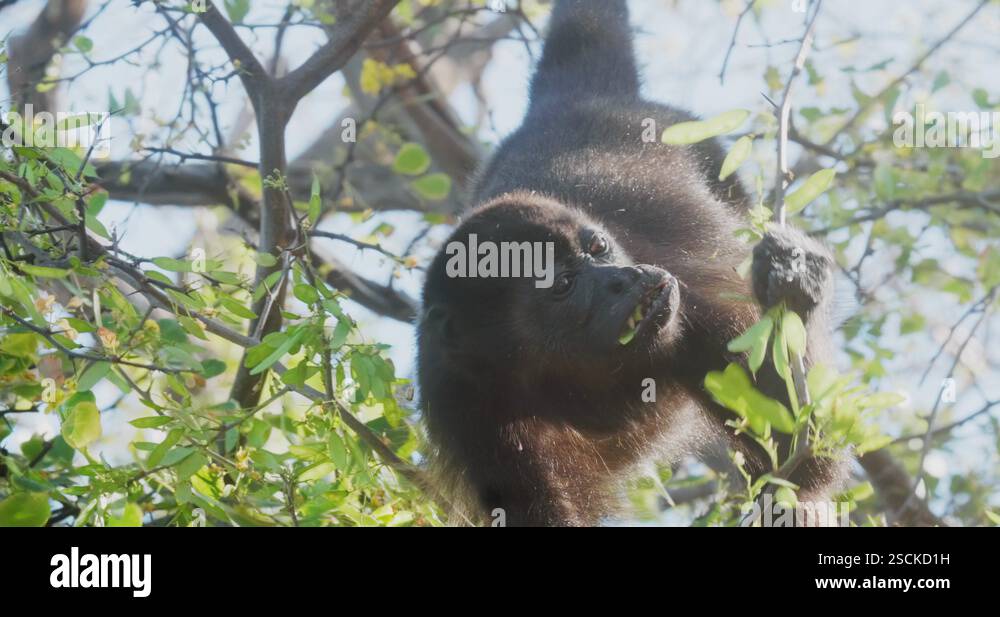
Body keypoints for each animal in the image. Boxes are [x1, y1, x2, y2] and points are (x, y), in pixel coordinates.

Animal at [417, 0, 846, 526]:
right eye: (562, 283)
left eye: (598, 247)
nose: (625, 277)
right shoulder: (460, 401)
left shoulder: (698, 311)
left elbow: (805, 466)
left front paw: (793, 291)